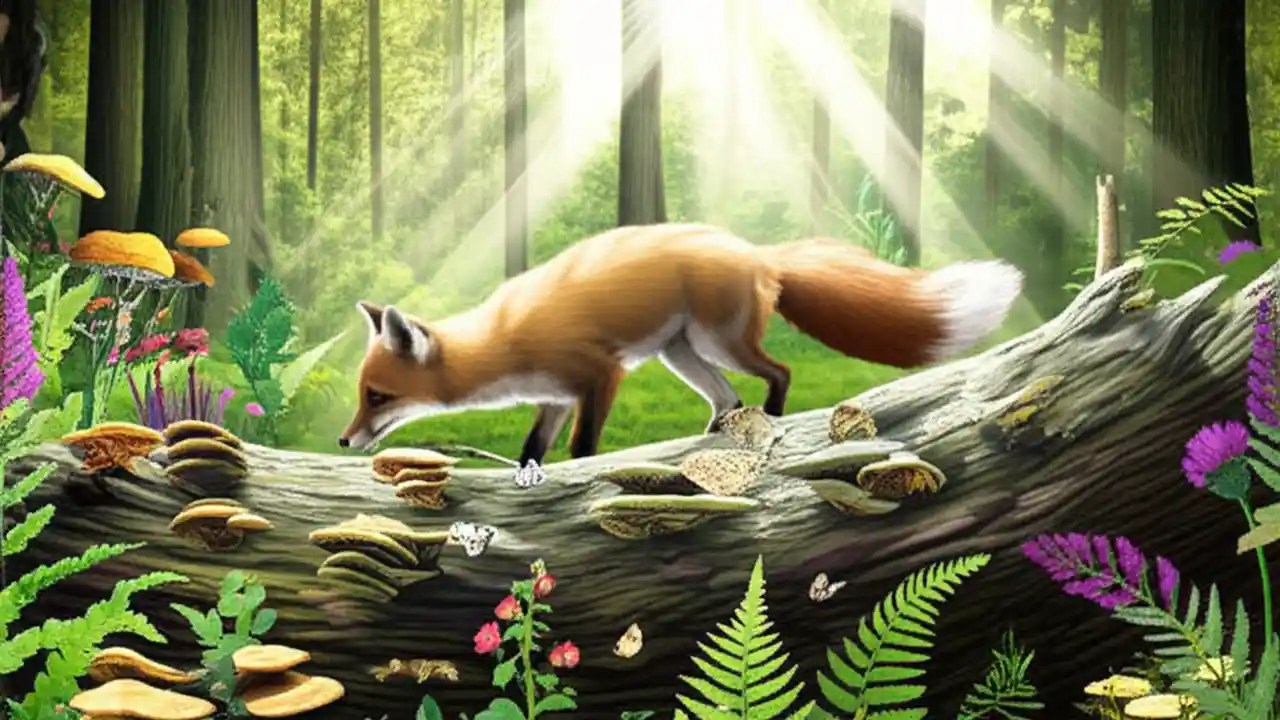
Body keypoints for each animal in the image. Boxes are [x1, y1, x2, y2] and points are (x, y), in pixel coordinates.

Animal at [338, 223, 1024, 464]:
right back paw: (719, 433)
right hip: (682, 354)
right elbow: (534, 448)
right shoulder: (554, 396)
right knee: (726, 399)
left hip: (719, 344)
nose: (343, 441)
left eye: (378, 396)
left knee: (777, 375)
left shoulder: (598, 375)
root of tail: (754, 250)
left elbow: (583, 449)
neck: (504, 340)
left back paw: (771, 424)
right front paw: (529, 475)